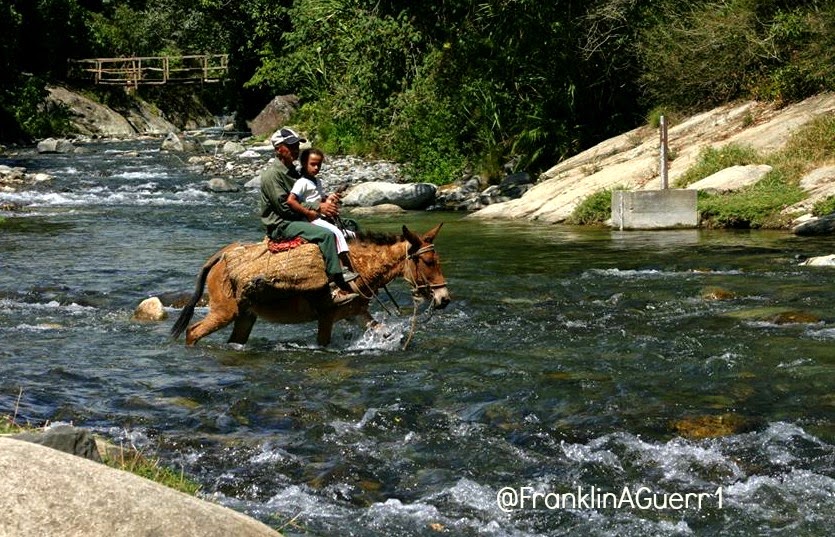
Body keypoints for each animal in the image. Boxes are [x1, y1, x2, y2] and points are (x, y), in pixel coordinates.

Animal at [170, 224, 450, 347]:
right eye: (428, 262)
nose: (444, 299)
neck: (357, 268)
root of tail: (220, 256)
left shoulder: (356, 313)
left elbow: (382, 331)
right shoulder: (327, 316)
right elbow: (323, 344)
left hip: (245, 315)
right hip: (224, 311)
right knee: (193, 331)